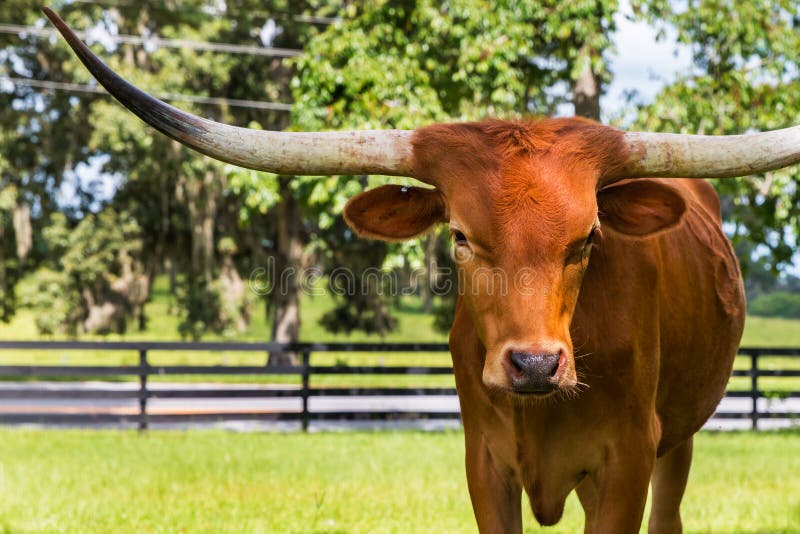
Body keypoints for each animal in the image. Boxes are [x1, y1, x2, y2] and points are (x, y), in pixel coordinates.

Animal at [46, 8, 800, 532]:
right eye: (460, 236)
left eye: (588, 239)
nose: (534, 364)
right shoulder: (484, 464)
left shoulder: (629, 462)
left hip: (679, 442)